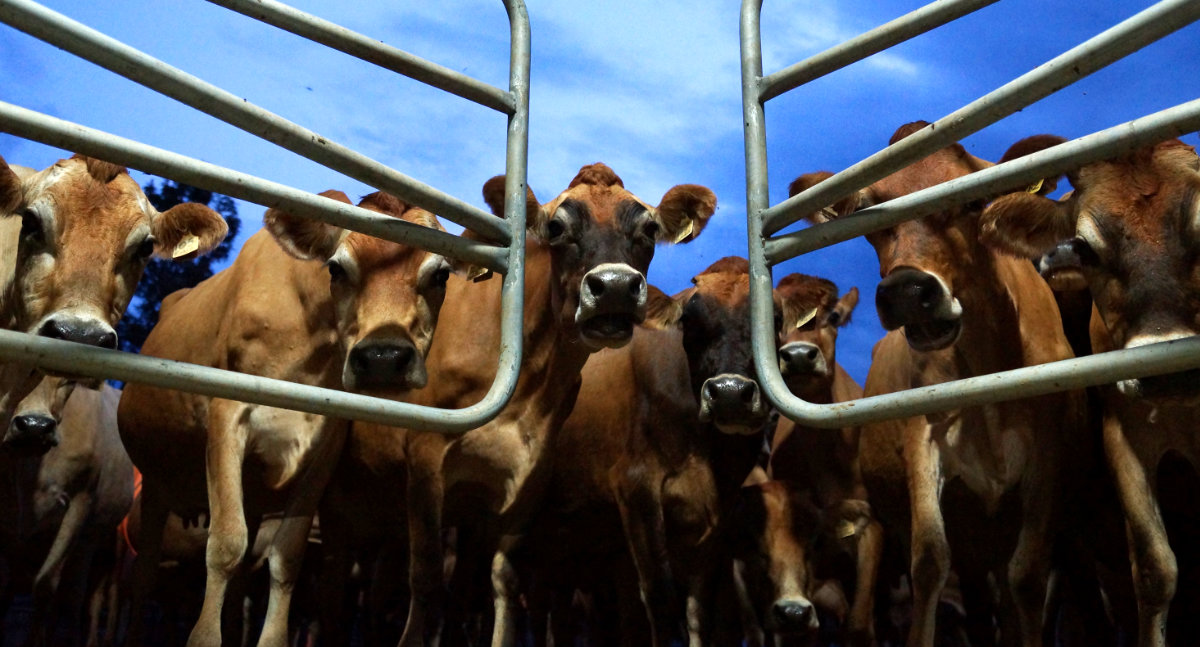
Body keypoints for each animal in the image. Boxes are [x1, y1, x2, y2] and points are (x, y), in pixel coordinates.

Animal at [0, 379, 132, 647]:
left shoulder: (79, 503)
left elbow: (45, 584)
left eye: (69, 380)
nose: (34, 426)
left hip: (101, 544)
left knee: (89, 596)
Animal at [117, 190, 463, 647]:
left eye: (440, 274)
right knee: (144, 575)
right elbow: (225, 546)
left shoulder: (325, 446)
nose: (383, 358)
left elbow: (286, 556)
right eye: (336, 267)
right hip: (155, 487)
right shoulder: (226, 415)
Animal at [318, 163, 717, 647]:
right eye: (557, 227)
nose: (616, 289)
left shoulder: (523, 481)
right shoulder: (426, 461)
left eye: (650, 229)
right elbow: (427, 581)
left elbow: (500, 585)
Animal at [791, 121, 1086, 647]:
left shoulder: (1048, 452)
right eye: (867, 209)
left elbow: (1028, 575)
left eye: (974, 202)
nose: (908, 291)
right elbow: (929, 559)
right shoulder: (922, 432)